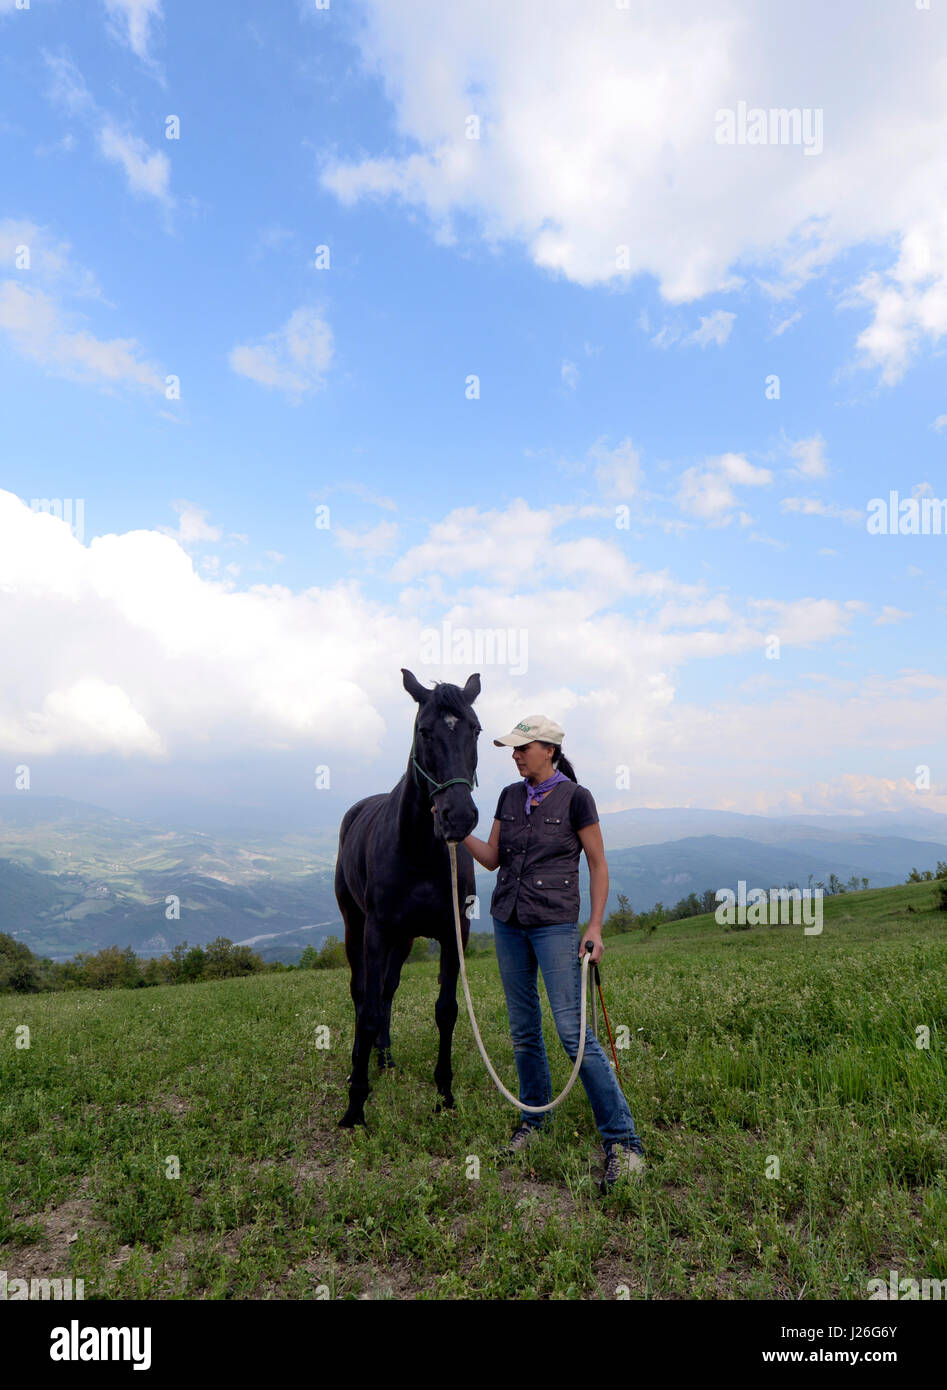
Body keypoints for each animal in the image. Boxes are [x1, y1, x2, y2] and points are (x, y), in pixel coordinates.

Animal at [335, 668, 482, 1127]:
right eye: (424, 730)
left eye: (475, 729)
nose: (458, 816)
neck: (419, 849)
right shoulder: (377, 932)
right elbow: (365, 1012)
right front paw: (355, 1106)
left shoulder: (454, 932)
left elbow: (446, 1010)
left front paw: (445, 1094)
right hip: (356, 926)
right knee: (362, 992)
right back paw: (359, 1065)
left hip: (403, 939)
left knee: (386, 991)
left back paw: (384, 1058)